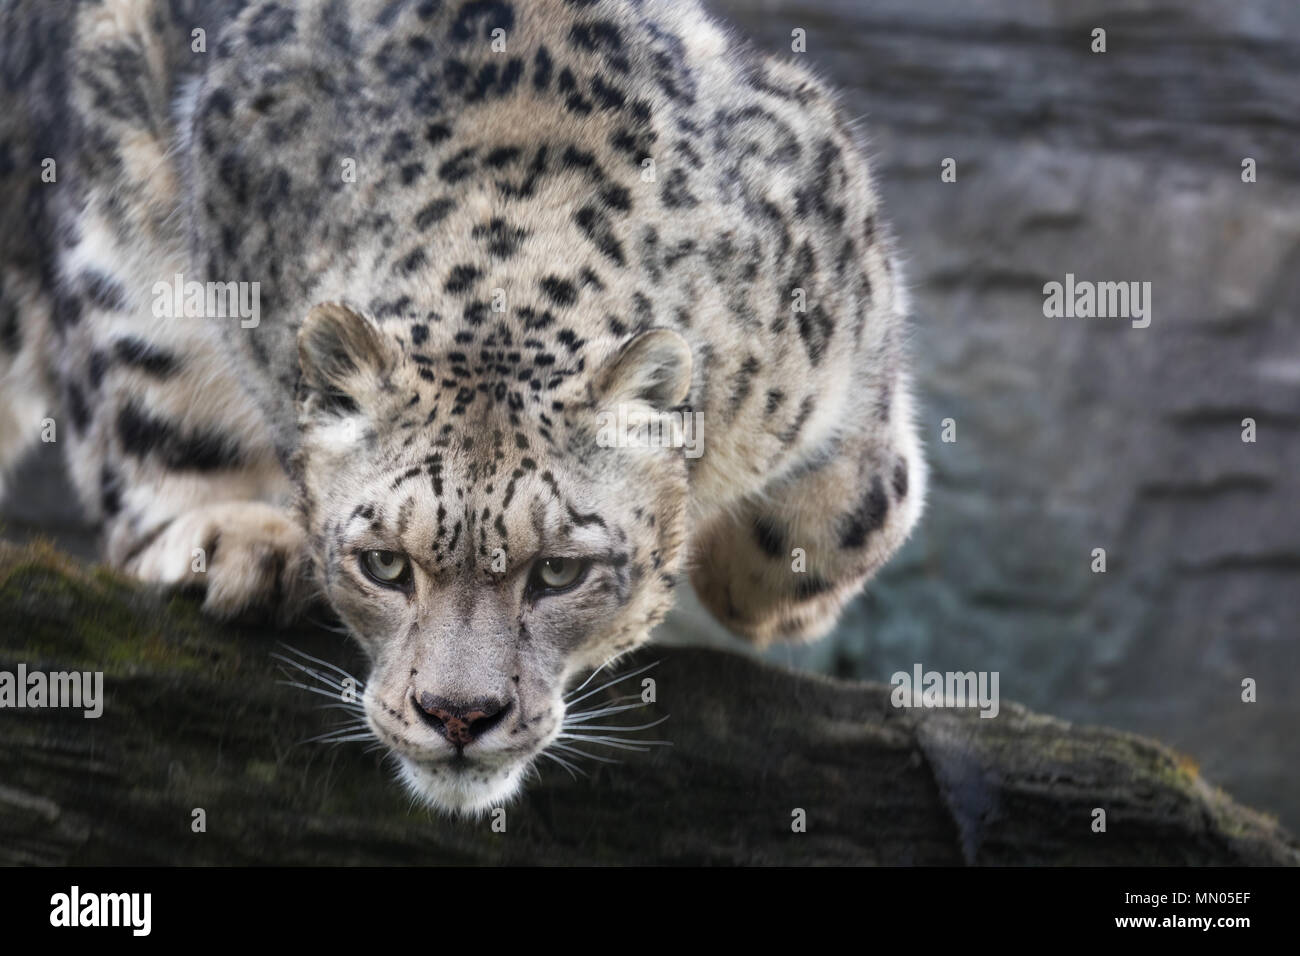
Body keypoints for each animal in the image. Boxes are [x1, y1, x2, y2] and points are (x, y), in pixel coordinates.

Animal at [0, 0, 926, 814]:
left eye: (559, 572)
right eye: (383, 564)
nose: (458, 716)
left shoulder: (842, 274)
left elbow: (849, 510)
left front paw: (758, 589)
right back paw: (235, 542)